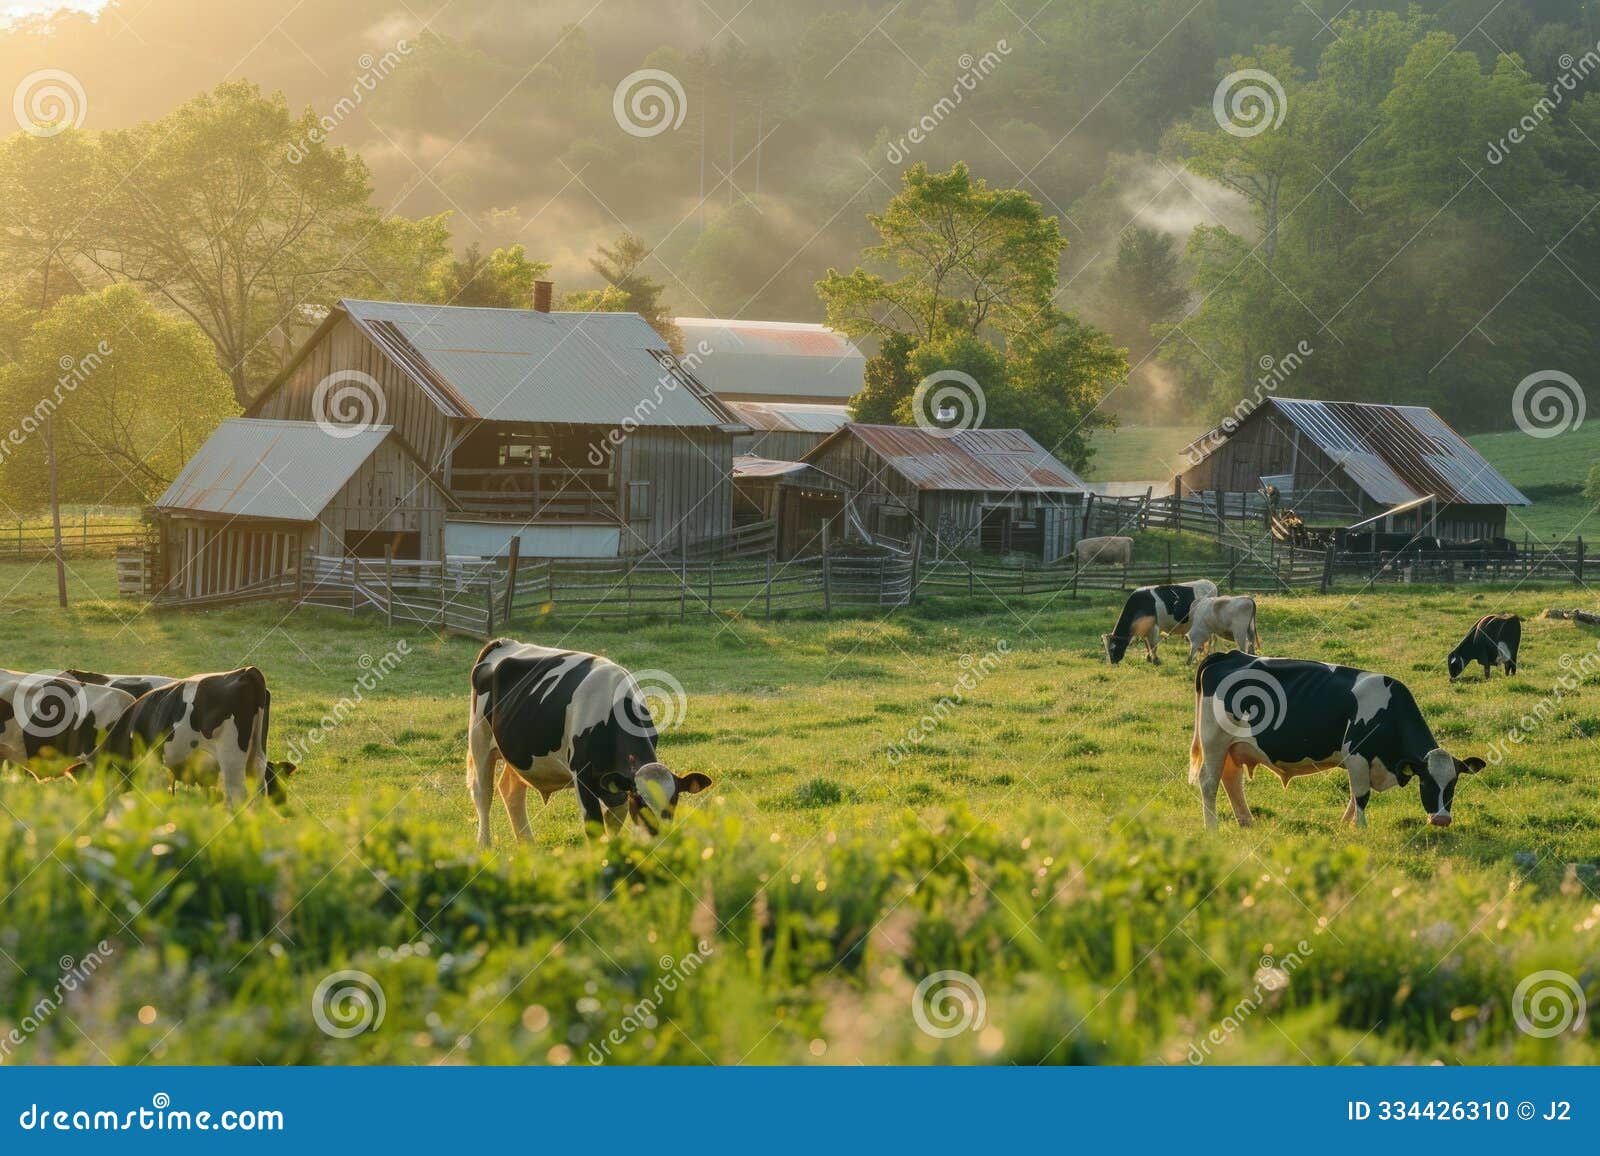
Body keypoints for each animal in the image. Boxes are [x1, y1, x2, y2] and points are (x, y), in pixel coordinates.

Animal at [468, 639, 712, 846]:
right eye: (639, 801)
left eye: (674, 801)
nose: (659, 840)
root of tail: (503, 642)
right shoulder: (582, 775)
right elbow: (594, 827)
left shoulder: (616, 786)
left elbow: (613, 824)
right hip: (479, 739)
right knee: (483, 794)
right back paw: (484, 846)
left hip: (519, 753)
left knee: (511, 791)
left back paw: (529, 847)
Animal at [1189, 651, 1484, 830]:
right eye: (1426, 782)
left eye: (1453, 784)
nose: (1442, 819)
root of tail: (1228, 655)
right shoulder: (1357, 755)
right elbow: (1361, 795)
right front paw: (1361, 829)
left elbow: (1354, 795)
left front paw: (1346, 825)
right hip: (1214, 741)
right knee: (1209, 781)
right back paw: (1211, 827)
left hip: (1234, 747)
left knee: (1231, 780)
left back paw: (1246, 821)